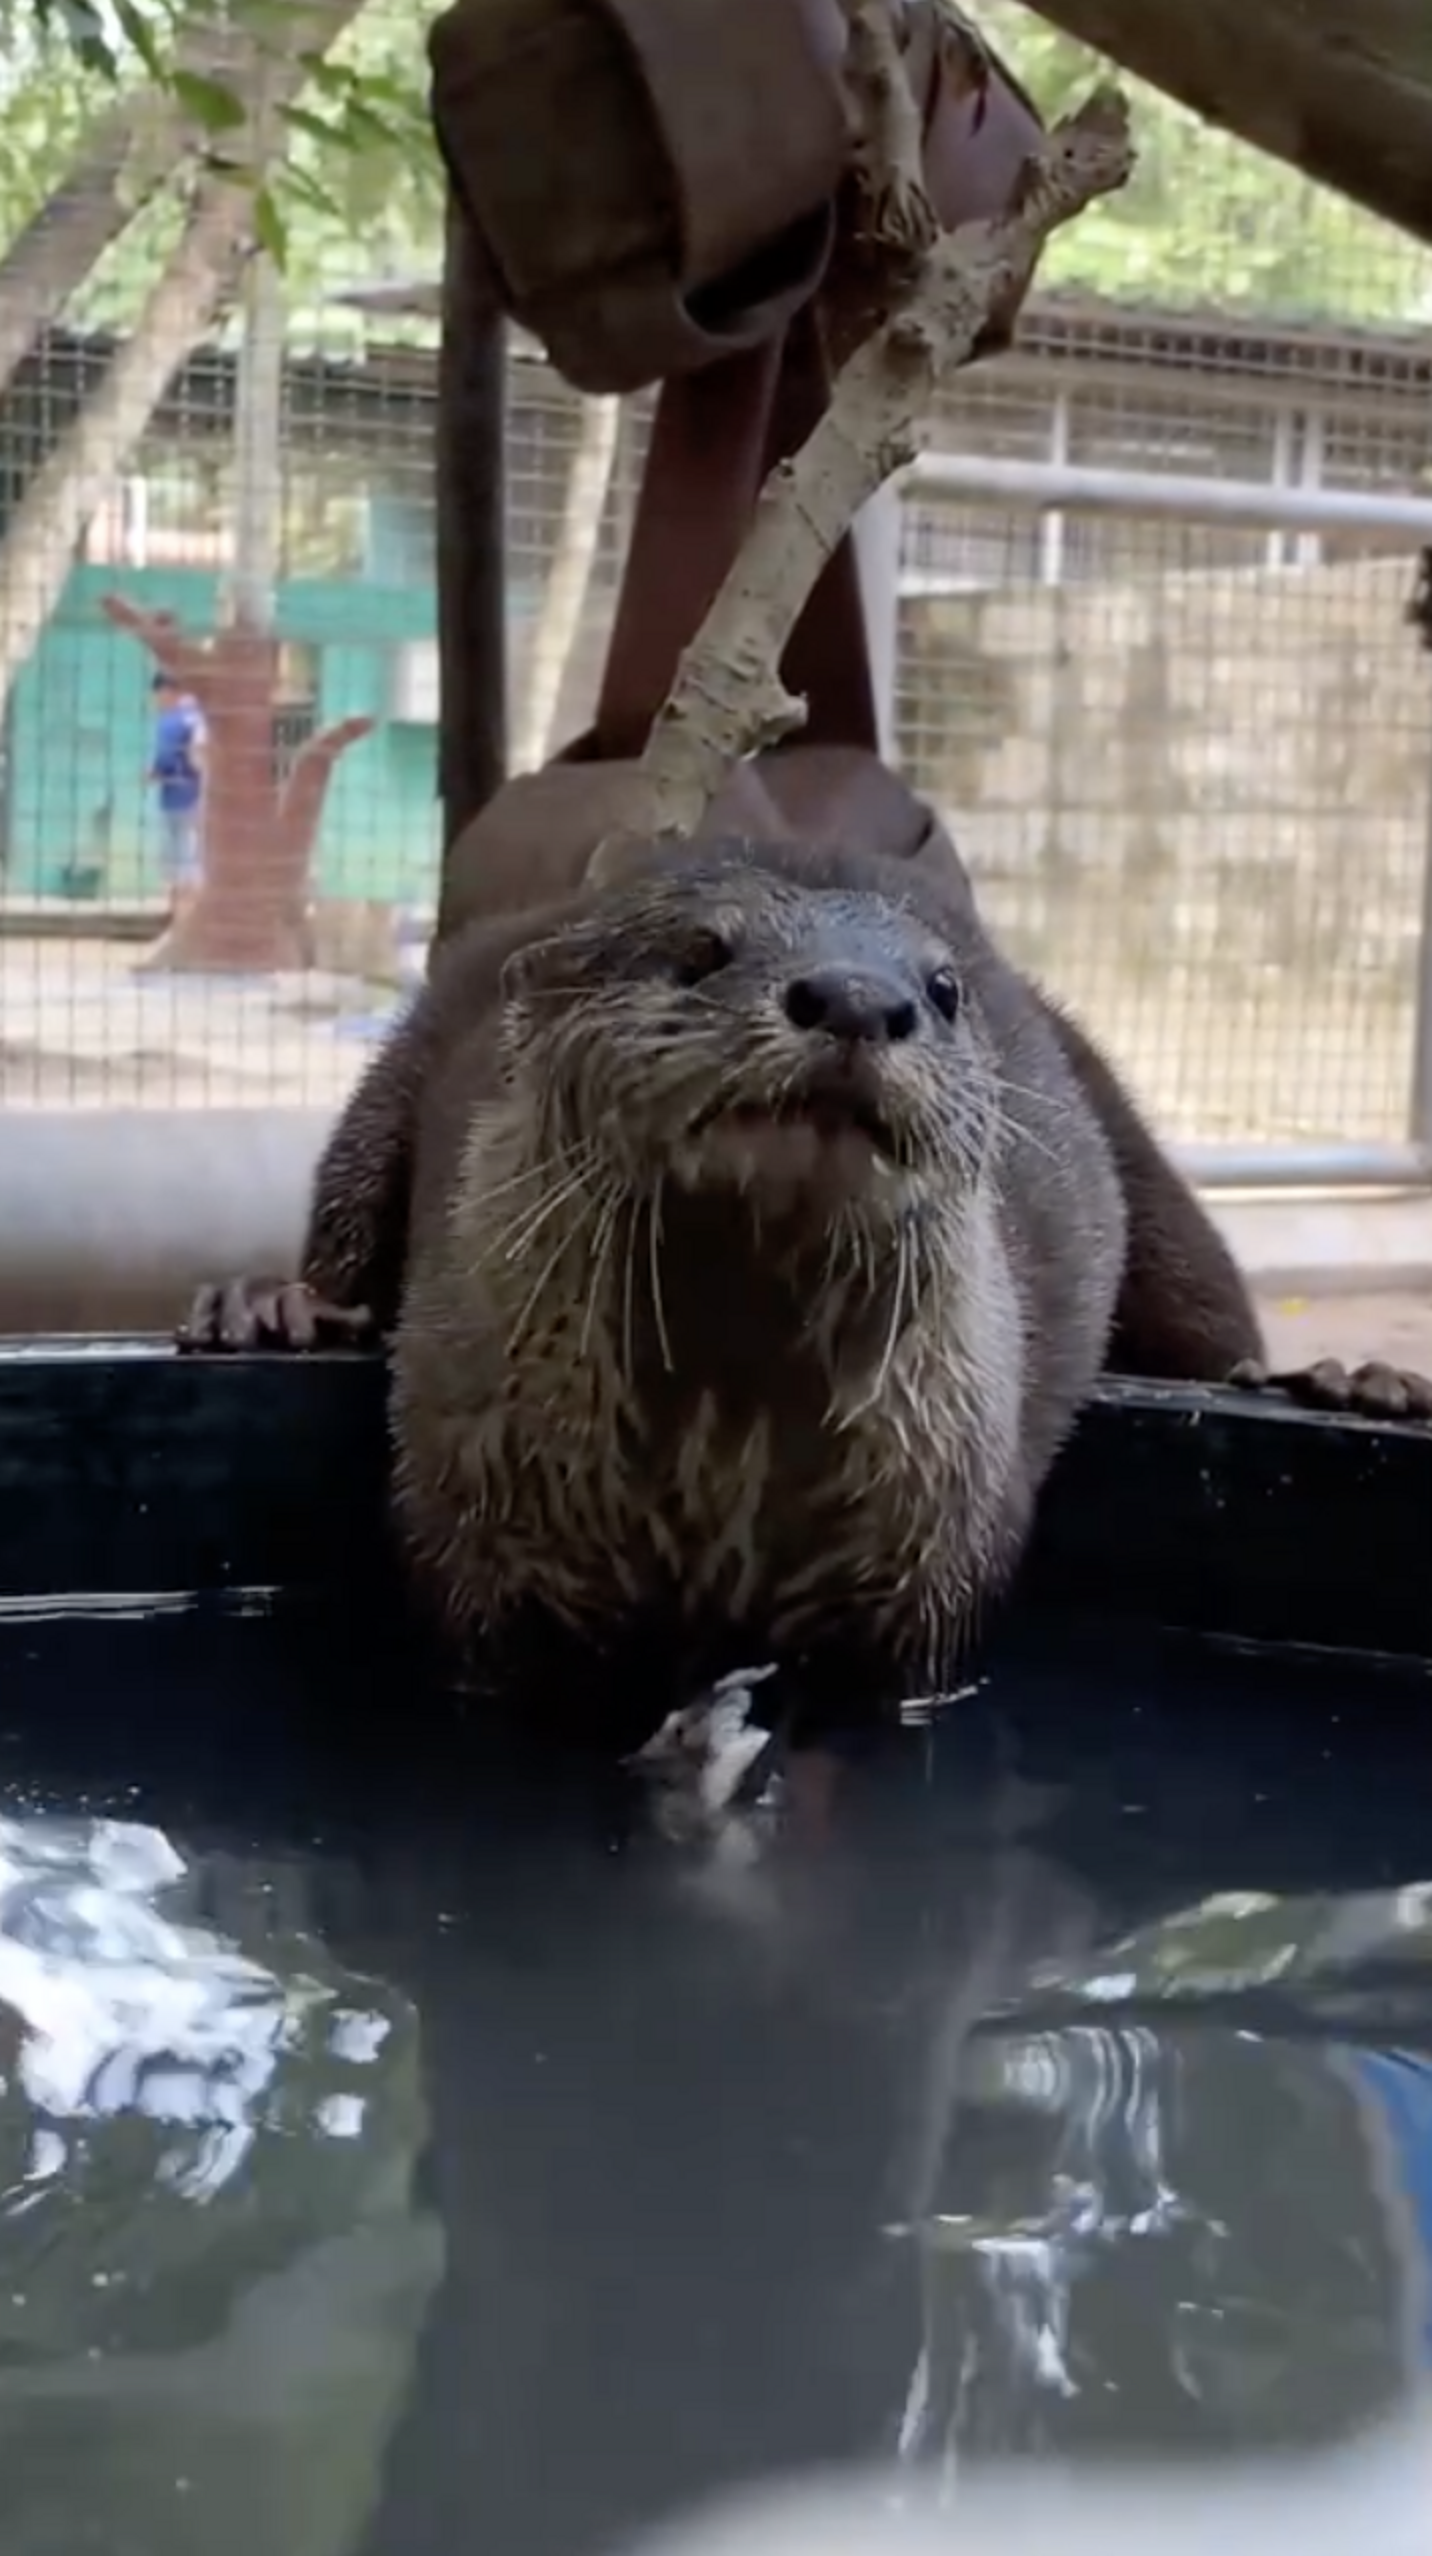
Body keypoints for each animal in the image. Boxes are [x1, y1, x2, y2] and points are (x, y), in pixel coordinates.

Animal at [182, 834, 1429, 1740]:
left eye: (940, 989)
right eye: (700, 951)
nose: (856, 999)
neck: (718, 1471)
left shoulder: (934, 1568)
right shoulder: (476, 1539)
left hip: (1148, 1180)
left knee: (1217, 1326)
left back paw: (1351, 1380)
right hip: (397, 1074)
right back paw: (273, 1308)